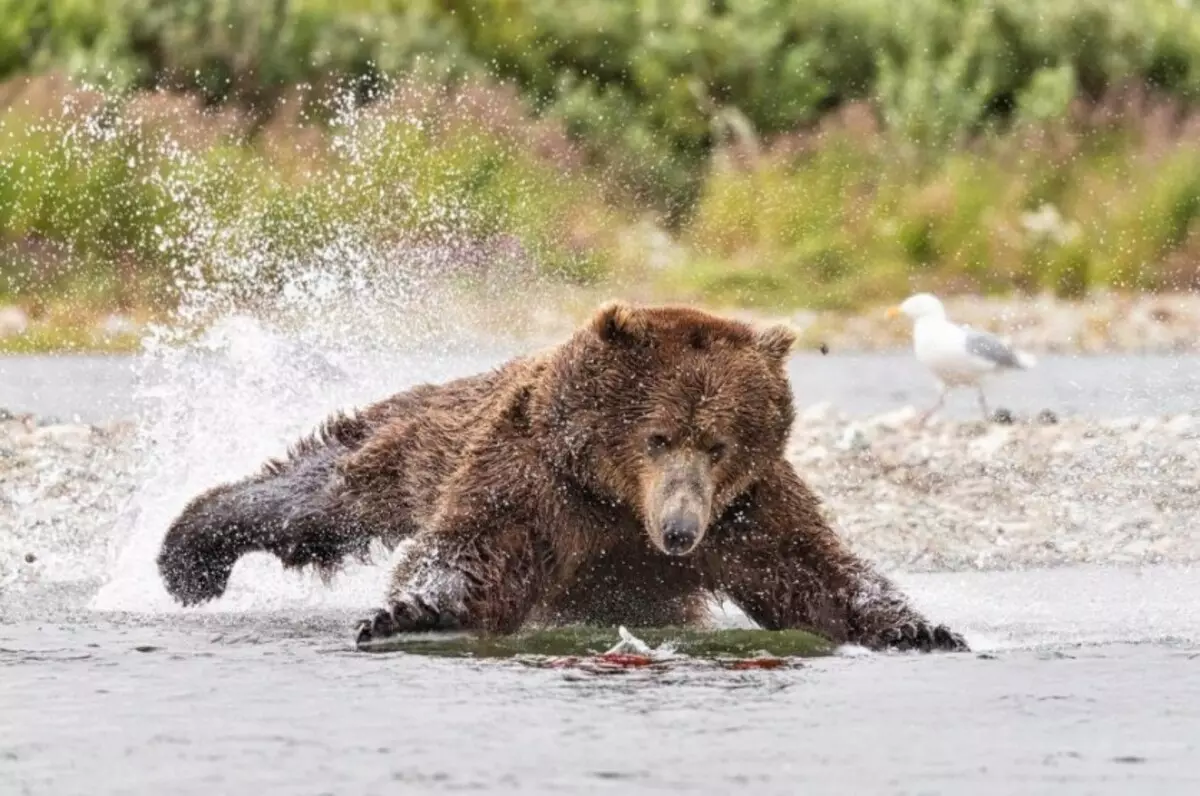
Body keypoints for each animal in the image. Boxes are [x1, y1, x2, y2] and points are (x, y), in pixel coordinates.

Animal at [157, 302, 964, 653]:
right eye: (658, 434)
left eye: (718, 442)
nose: (679, 532)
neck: (618, 499)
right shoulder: (540, 477)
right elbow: (474, 549)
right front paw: (405, 612)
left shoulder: (747, 506)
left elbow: (813, 568)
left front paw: (921, 626)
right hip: (418, 439)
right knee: (321, 492)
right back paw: (190, 554)